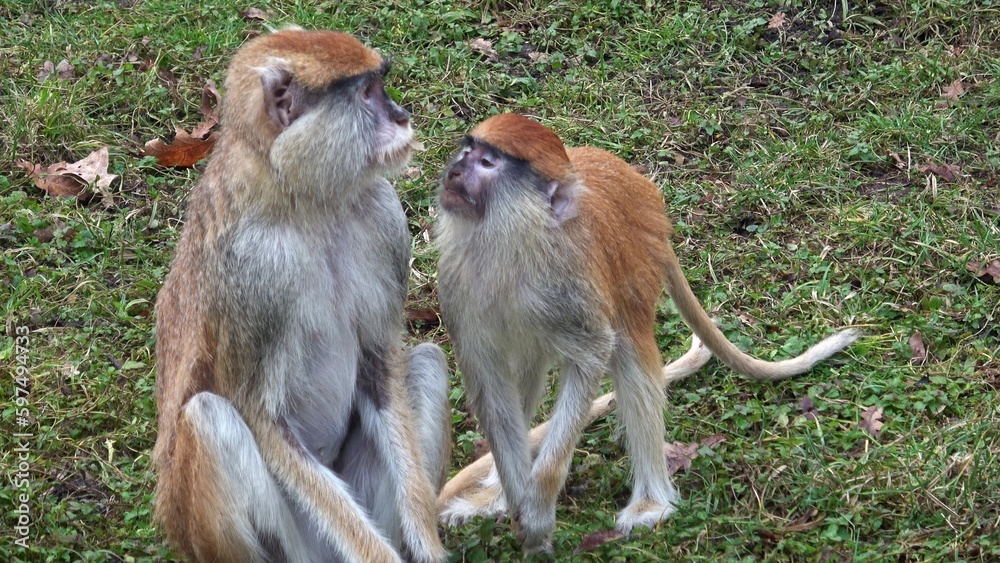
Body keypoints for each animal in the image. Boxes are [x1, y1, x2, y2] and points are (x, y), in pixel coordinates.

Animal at [152, 29, 451, 562]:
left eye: (380, 85)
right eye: (368, 93)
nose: (402, 117)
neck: (304, 201)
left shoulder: (383, 219)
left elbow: (380, 369)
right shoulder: (252, 273)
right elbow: (262, 419)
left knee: (426, 362)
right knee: (209, 418)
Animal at [433, 113, 861, 553]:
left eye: (487, 163)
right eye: (467, 151)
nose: (454, 171)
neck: (513, 240)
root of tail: (637, 184)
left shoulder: (568, 292)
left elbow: (593, 355)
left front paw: (536, 514)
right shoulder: (459, 290)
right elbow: (492, 382)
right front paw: (515, 502)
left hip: (638, 265)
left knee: (631, 358)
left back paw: (651, 502)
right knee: (530, 369)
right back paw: (496, 495)